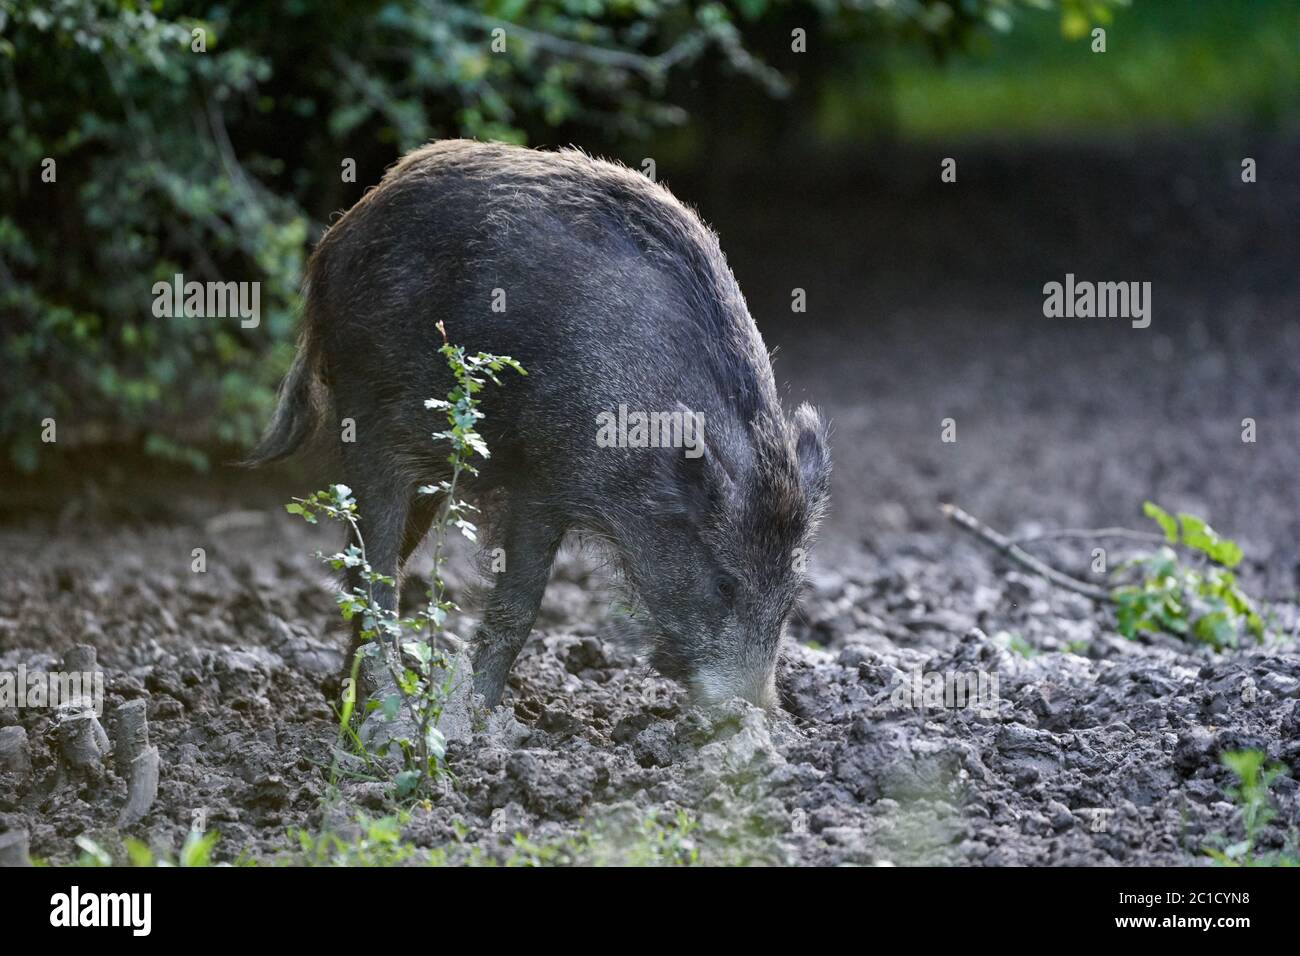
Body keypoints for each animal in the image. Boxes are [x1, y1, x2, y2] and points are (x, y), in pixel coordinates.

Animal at [246, 140, 830, 710]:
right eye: (726, 584)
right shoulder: (542, 479)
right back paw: (381, 710)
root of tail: (332, 244)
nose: (756, 711)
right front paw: (477, 718)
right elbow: (519, 607)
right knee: (375, 573)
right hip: (369, 420)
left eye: (792, 595)